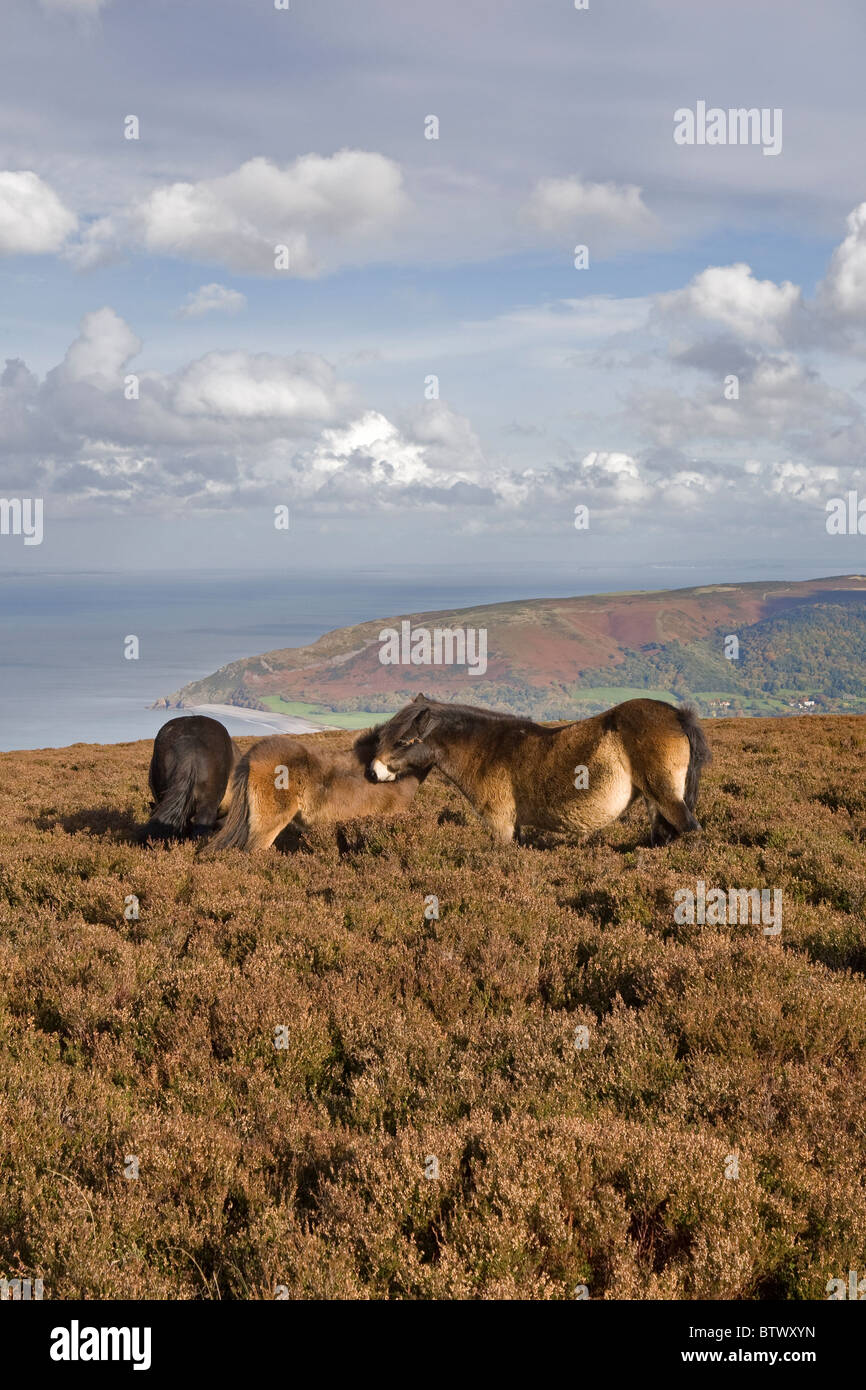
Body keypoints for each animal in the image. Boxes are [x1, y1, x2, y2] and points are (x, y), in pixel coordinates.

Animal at [368, 694, 711, 846]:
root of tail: (677, 714)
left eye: (402, 741)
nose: (372, 772)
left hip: (667, 797)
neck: (486, 748)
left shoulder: (500, 822)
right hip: (655, 802)